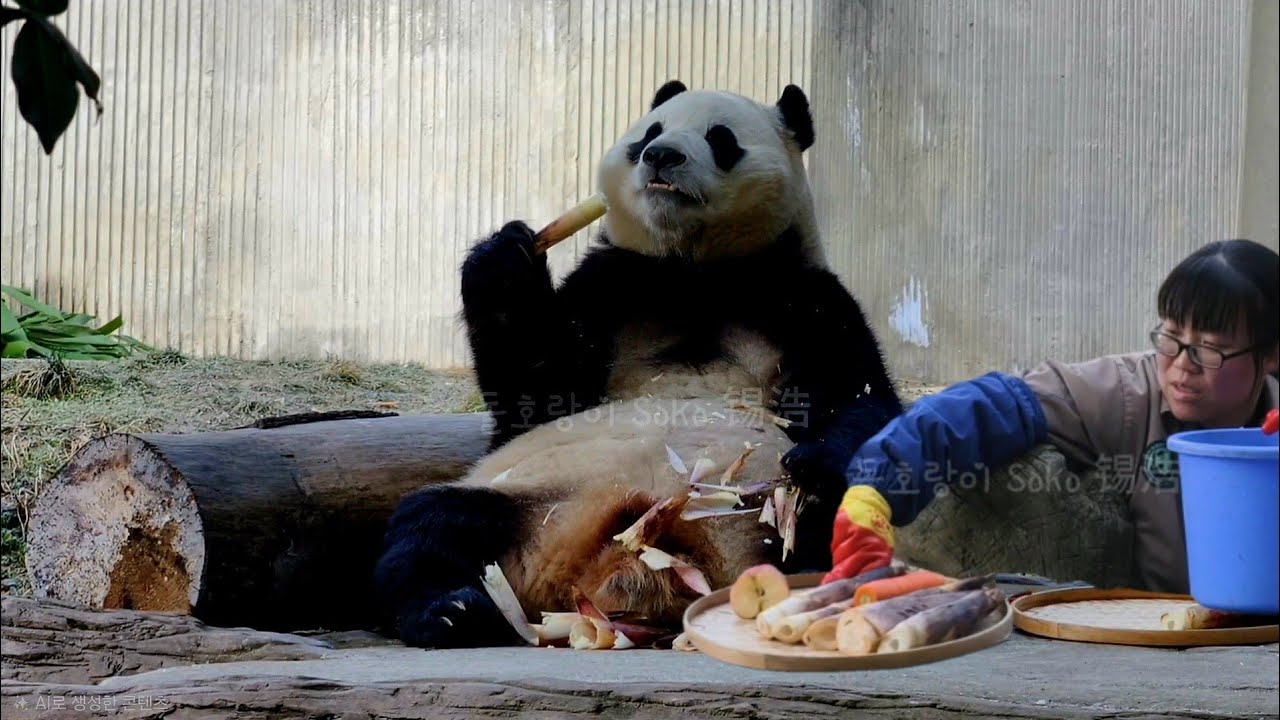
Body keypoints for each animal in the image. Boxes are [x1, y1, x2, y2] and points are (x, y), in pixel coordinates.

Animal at [374, 81, 904, 649]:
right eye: (649, 133)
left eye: (720, 138)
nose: (662, 156)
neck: (692, 276)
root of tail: (627, 563)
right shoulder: (608, 293)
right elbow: (536, 394)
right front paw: (505, 262)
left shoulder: (808, 302)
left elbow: (858, 398)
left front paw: (810, 463)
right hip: (533, 502)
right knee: (431, 526)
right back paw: (452, 611)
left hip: (757, 525)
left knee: (840, 521)